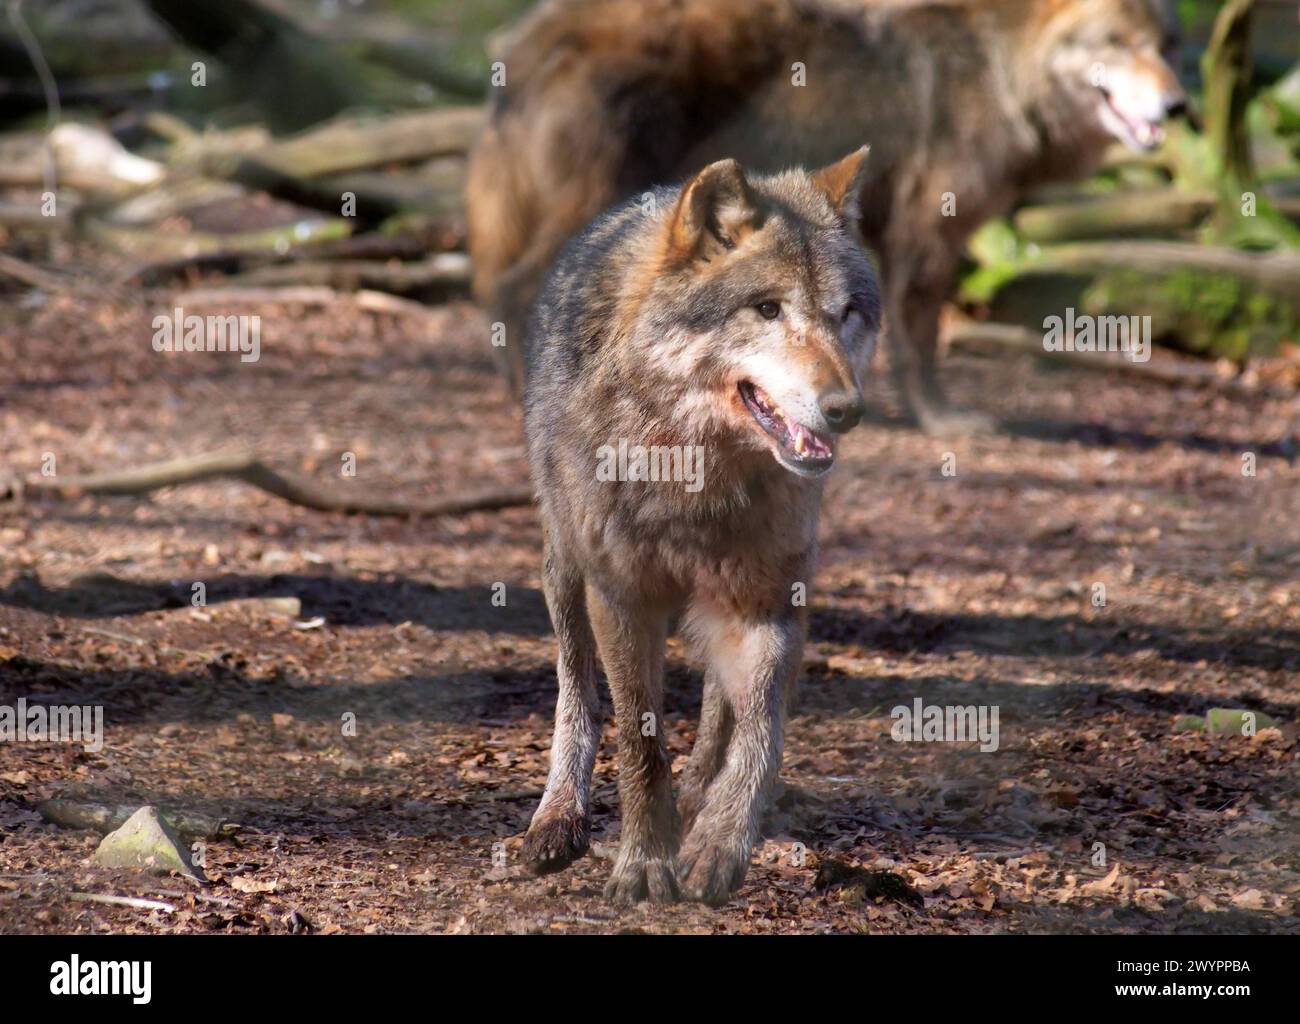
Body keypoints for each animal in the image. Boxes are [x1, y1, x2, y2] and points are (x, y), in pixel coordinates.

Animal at [468, 0, 1185, 434]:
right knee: (513, 288)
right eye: (1119, 42)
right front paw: (940, 420)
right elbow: (921, 339)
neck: (1001, 73)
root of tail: (523, 43)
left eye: (1168, 44)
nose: (1178, 105)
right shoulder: (927, 233)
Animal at [522, 147, 879, 904]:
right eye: (767, 309)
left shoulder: (768, 601)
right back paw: (556, 822)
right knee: (575, 690)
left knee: (721, 706)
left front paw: (718, 841)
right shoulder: (620, 596)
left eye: (845, 315)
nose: (846, 410)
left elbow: (761, 731)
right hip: (563, 566)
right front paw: (644, 863)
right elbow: (639, 739)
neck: (699, 477)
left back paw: (696, 801)